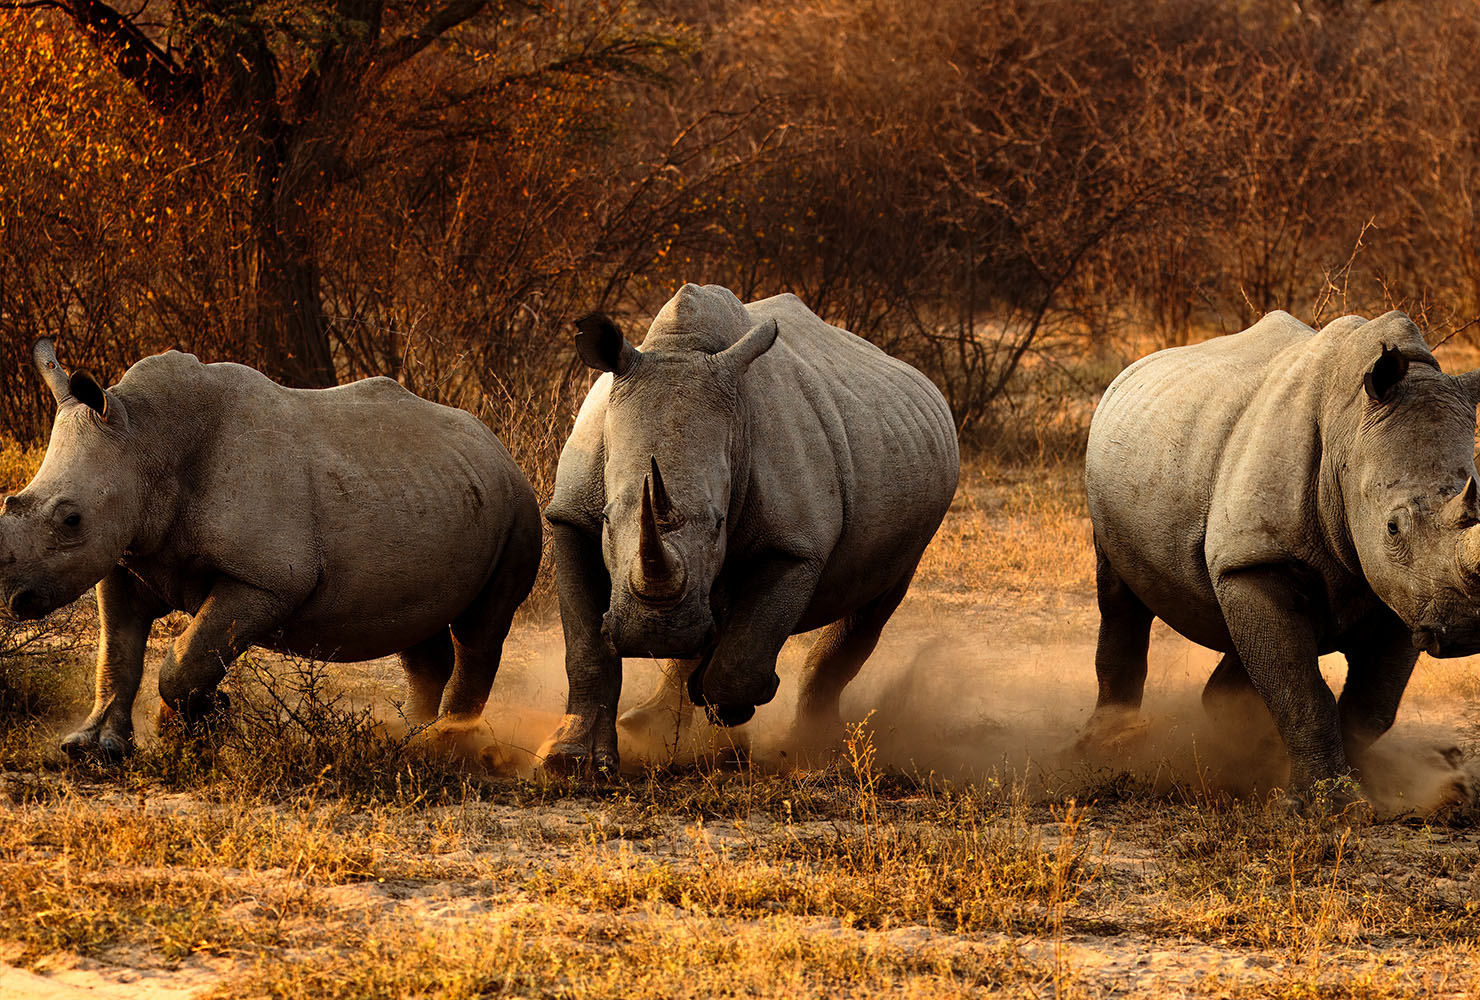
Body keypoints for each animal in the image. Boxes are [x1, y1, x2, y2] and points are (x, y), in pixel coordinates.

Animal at [1, 341, 542, 760]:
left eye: (71, 520)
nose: (12, 598)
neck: (146, 439)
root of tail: (497, 444)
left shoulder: (268, 580)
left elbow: (186, 657)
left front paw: (196, 725)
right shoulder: (125, 560)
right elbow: (117, 653)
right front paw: (92, 748)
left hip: (518, 505)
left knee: (482, 629)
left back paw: (445, 746)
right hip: (438, 490)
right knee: (419, 630)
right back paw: (405, 739)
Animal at [539, 283, 959, 775]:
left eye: (720, 524)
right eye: (606, 518)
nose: (654, 636)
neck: (680, 349)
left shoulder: (795, 546)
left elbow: (743, 655)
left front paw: (737, 701)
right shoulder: (570, 517)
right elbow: (586, 647)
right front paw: (569, 761)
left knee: (877, 599)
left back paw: (814, 749)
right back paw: (649, 722)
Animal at [1085, 309, 1480, 797]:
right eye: (1393, 527)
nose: (1466, 631)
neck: (1348, 428)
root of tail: (1128, 372)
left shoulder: (1406, 593)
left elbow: (1371, 704)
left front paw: (1370, 790)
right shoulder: (1259, 557)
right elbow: (1302, 692)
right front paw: (1325, 802)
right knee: (1119, 600)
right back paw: (1105, 747)